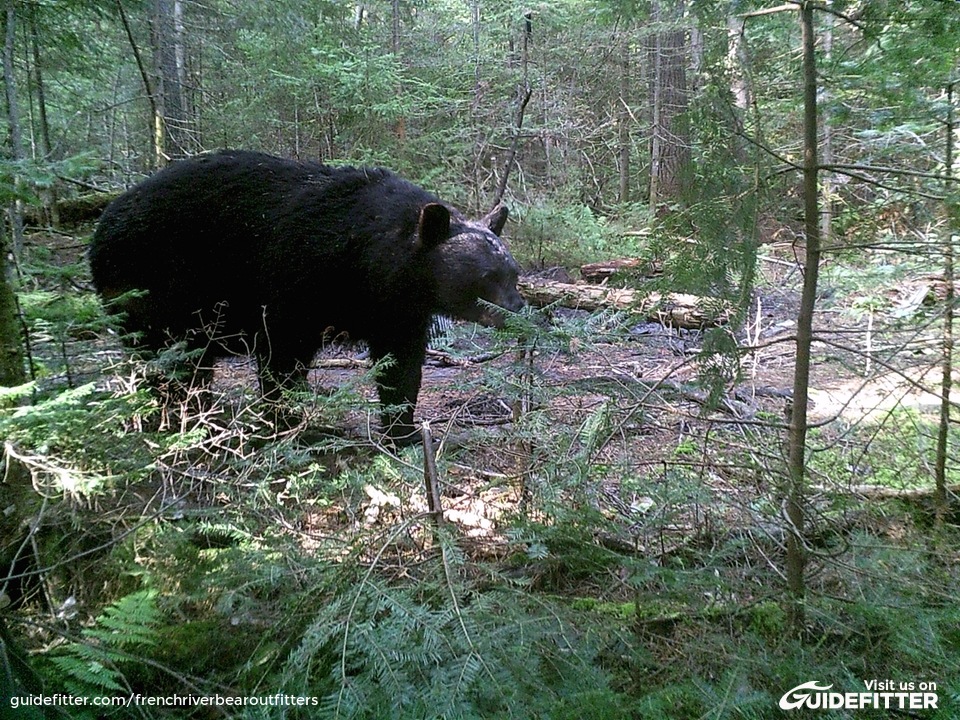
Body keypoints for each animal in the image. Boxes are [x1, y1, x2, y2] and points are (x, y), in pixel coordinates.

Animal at [89, 149, 525, 444]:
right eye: (486, 277)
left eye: (514, 273)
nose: (520, 312)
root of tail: (103, 224)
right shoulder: (296, 280)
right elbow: (282, 355)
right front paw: (285, 422)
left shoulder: (394, 309)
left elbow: (401, 365)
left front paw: (404, 431)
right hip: (155, 285)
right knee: (174, 362)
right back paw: (187, 418)